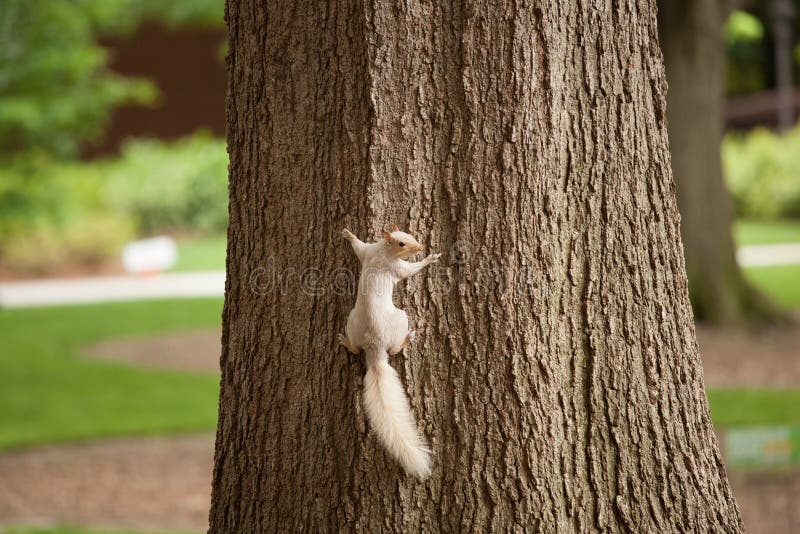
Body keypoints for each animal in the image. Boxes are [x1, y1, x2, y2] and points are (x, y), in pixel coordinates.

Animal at [339, 224, 441, 479]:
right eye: (402, 243)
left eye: (410, 235)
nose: (420, 247)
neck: (383, 250)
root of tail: (374, 347)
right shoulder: (395, 267)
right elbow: (410, 271)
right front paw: (429, 259)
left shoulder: (367, 251)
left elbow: (358, 247)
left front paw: (349, 235)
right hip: (400, 318)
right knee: (392, 350)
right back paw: (407, 339)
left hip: (351, 322)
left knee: (356, 347)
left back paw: (347, 342)